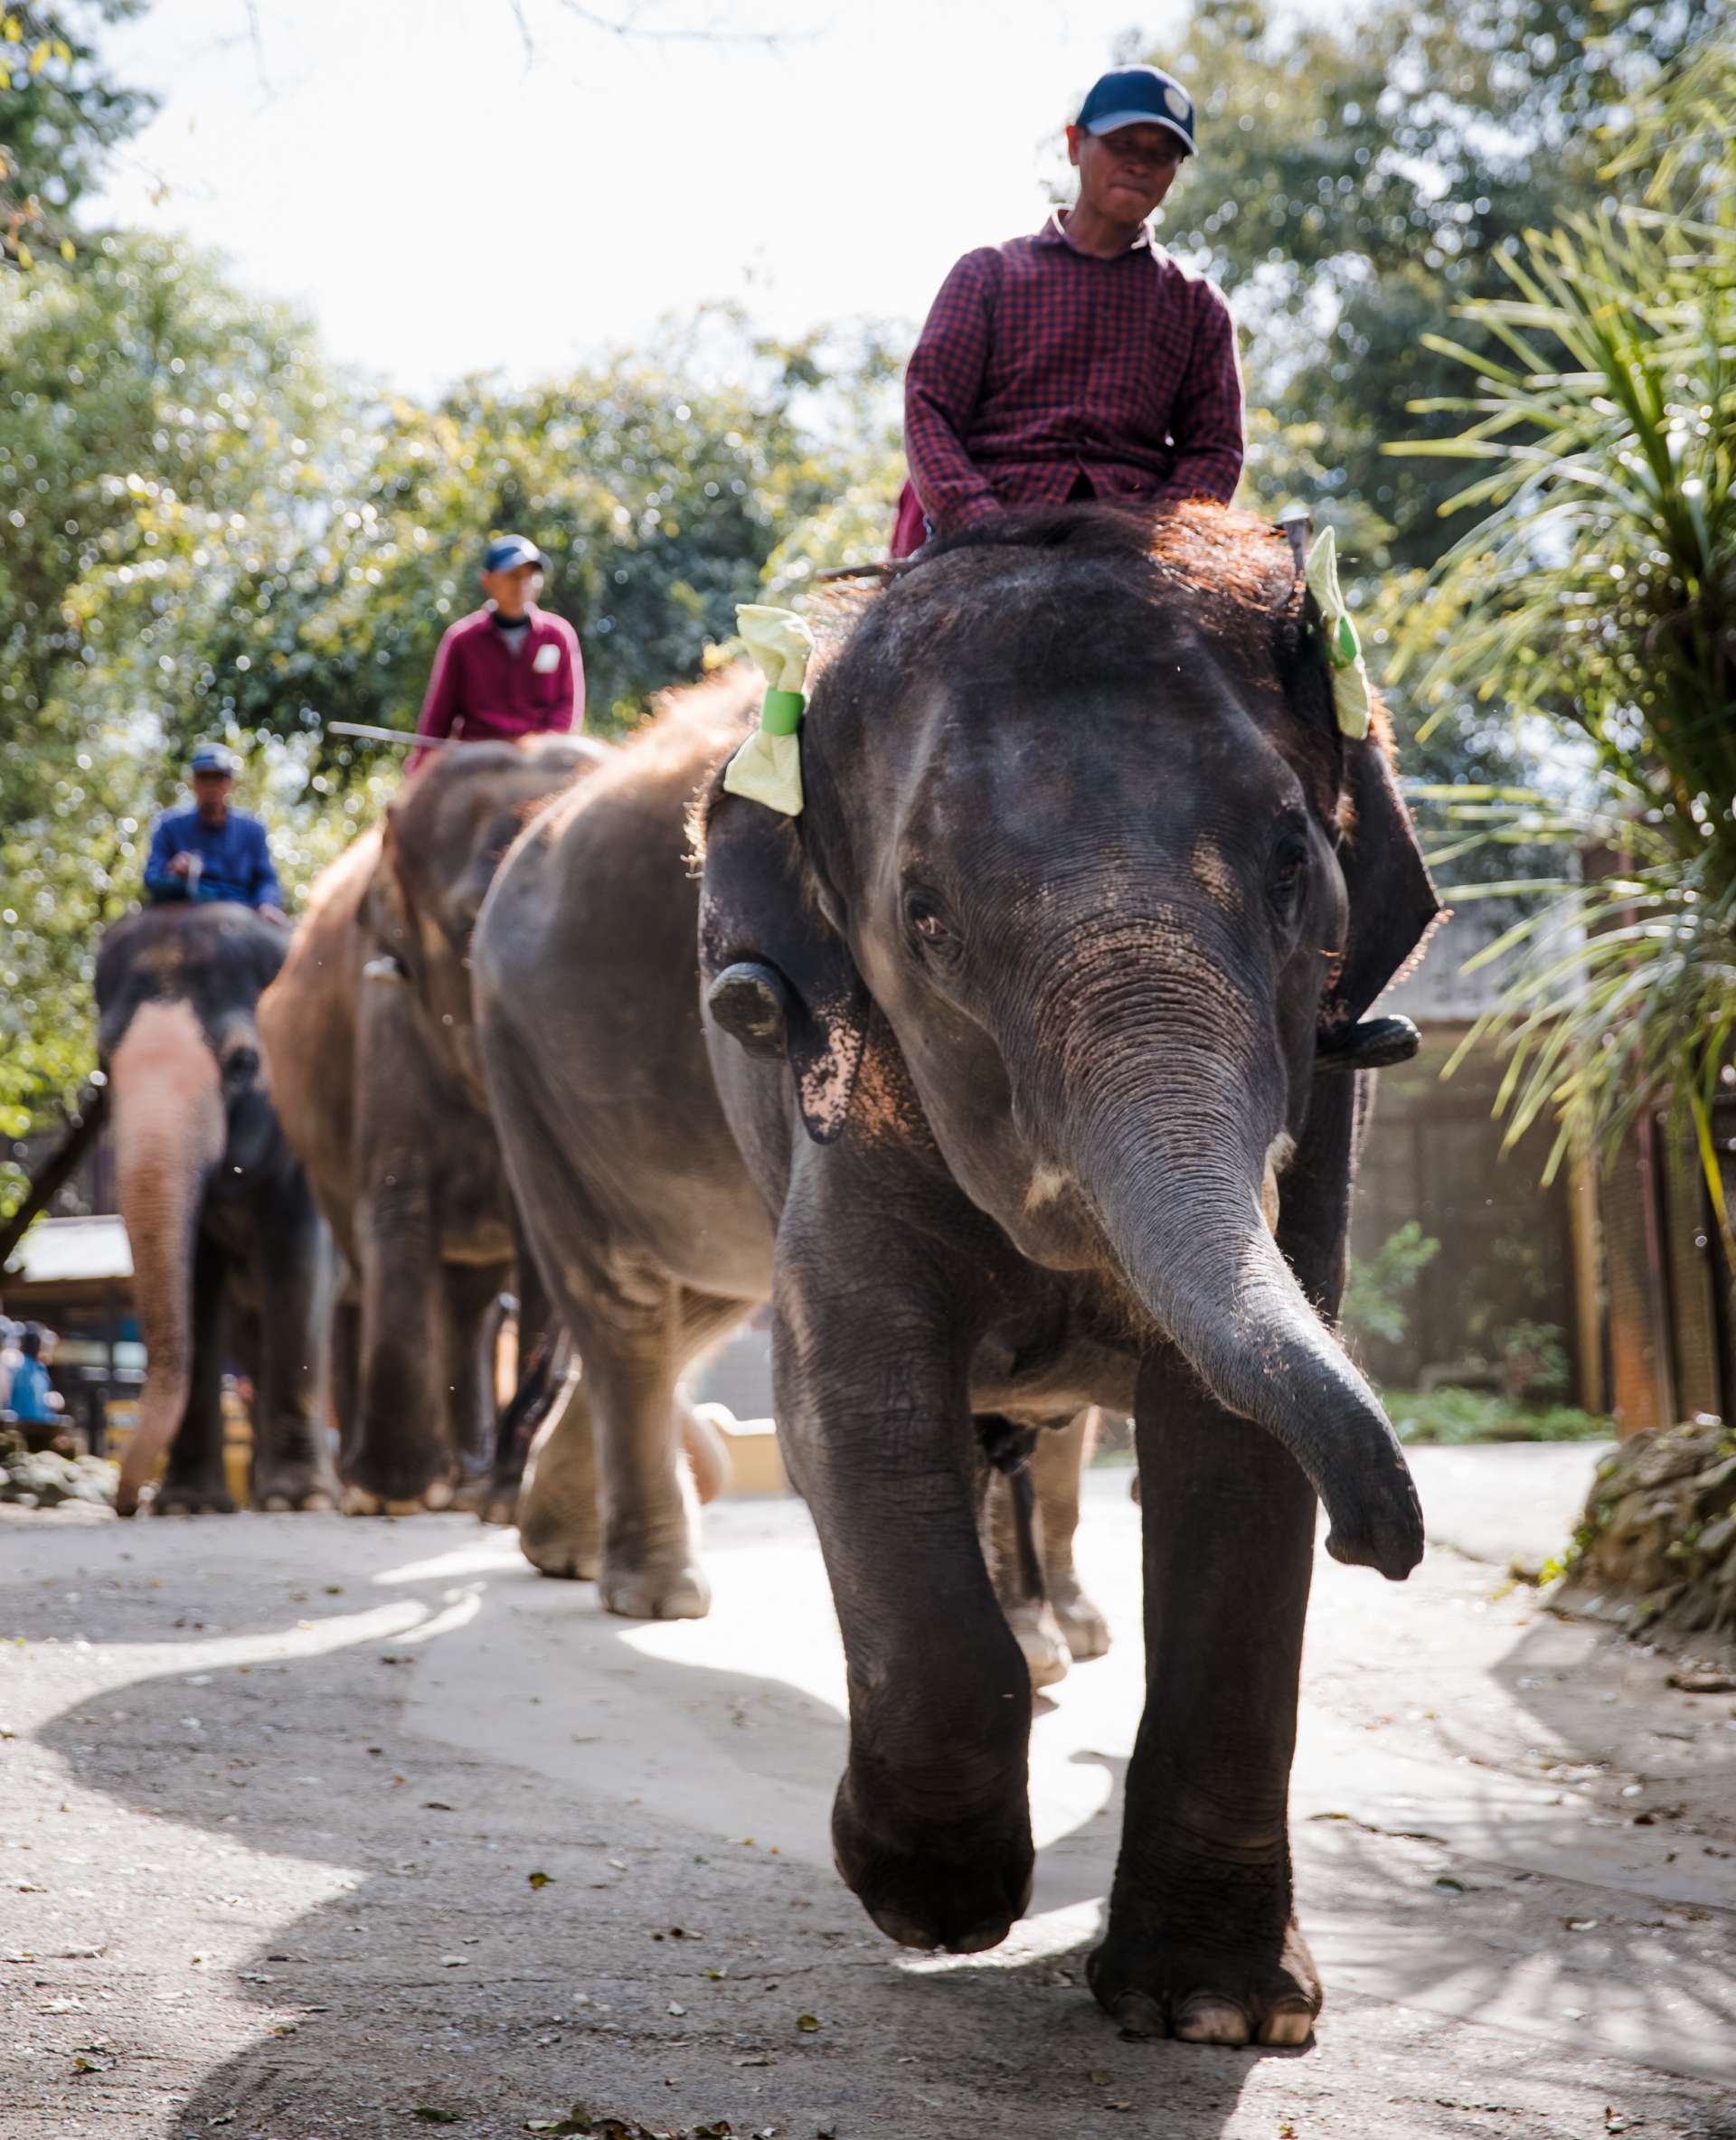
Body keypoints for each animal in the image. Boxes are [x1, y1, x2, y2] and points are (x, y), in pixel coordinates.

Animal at [96, 902, 336, 1517]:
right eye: (103, 1066)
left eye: (243, 1063)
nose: (128, 1504)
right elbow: (198, 1287)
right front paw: (188, 1507)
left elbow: (298, 1273)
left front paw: (298, 1503)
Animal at [257, 734, 605, 1515]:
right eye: (470, 927)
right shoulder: (386, 1006)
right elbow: (399, 1208)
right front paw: (391, 1494)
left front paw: (505, 1496)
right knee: (364, 1275)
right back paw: (398, 1481)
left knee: (471, 1301)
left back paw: (466, 1477)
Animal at [472, 673, 1113, 1654]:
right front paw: (1037, 1649)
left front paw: (1070, 1637)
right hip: (530, 1076)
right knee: (624, 1305)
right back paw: (656, 1594)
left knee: (701, 1294)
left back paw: (561, 1546)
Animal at [691, 503, 1440, 2043]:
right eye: (925, 918)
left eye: (1294, 863)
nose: (1382, 1537)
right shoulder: (846, 1091)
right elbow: (853, 1399)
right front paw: (932, 1900)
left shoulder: (1326, 1104)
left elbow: (1234, 1449)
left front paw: (1211, 2012)